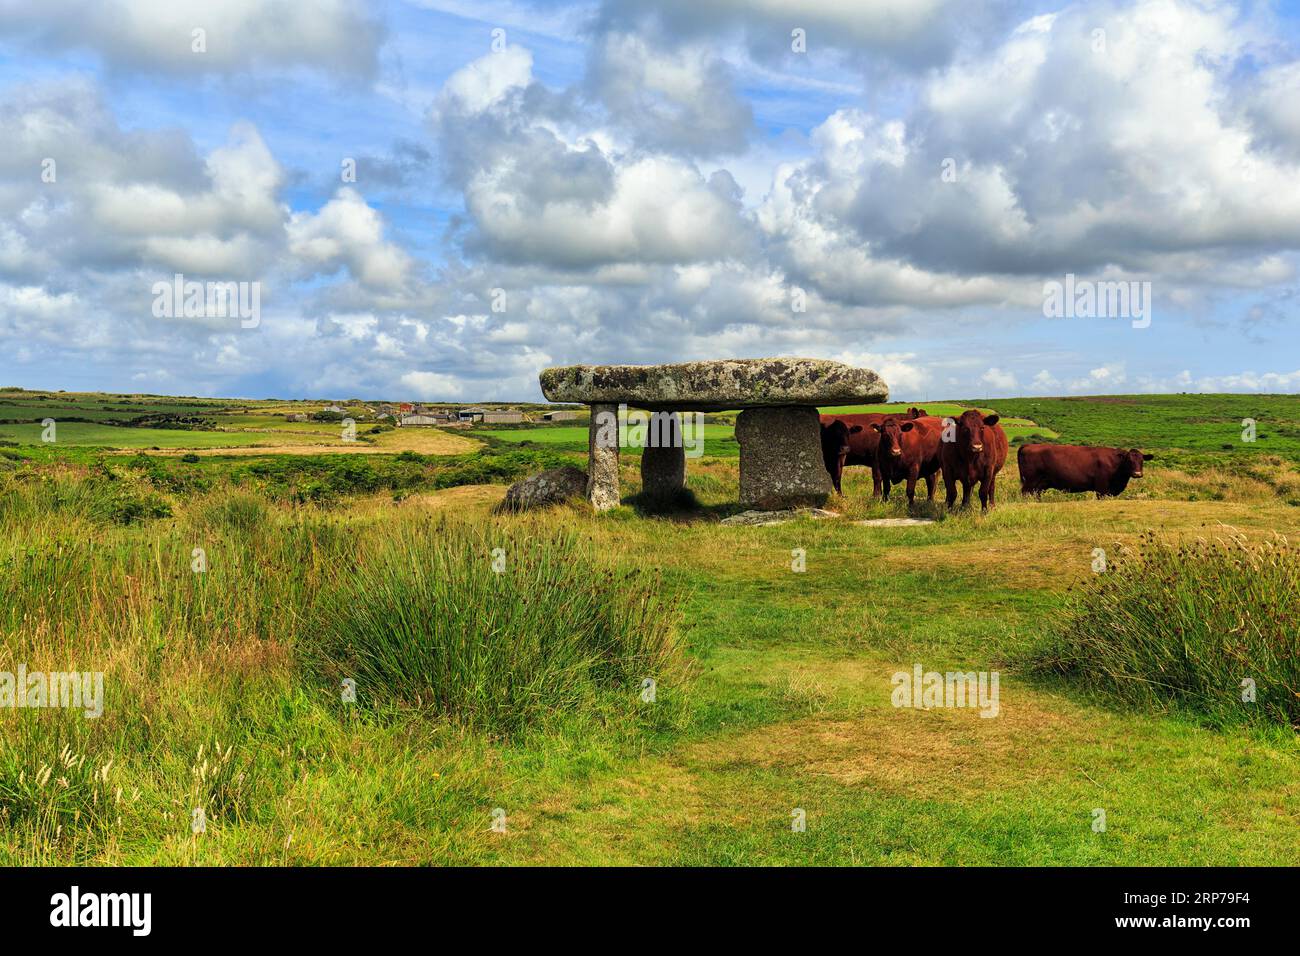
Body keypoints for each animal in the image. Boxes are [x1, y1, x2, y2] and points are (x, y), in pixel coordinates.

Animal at [1018, 444, 1153, 498]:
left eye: (1142, 460)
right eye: (1129, 460)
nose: (1137, 474)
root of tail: (1029, 445)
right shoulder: (1101, 488)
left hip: (1040, 484)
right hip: (1030, 481)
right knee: (1025, 493)